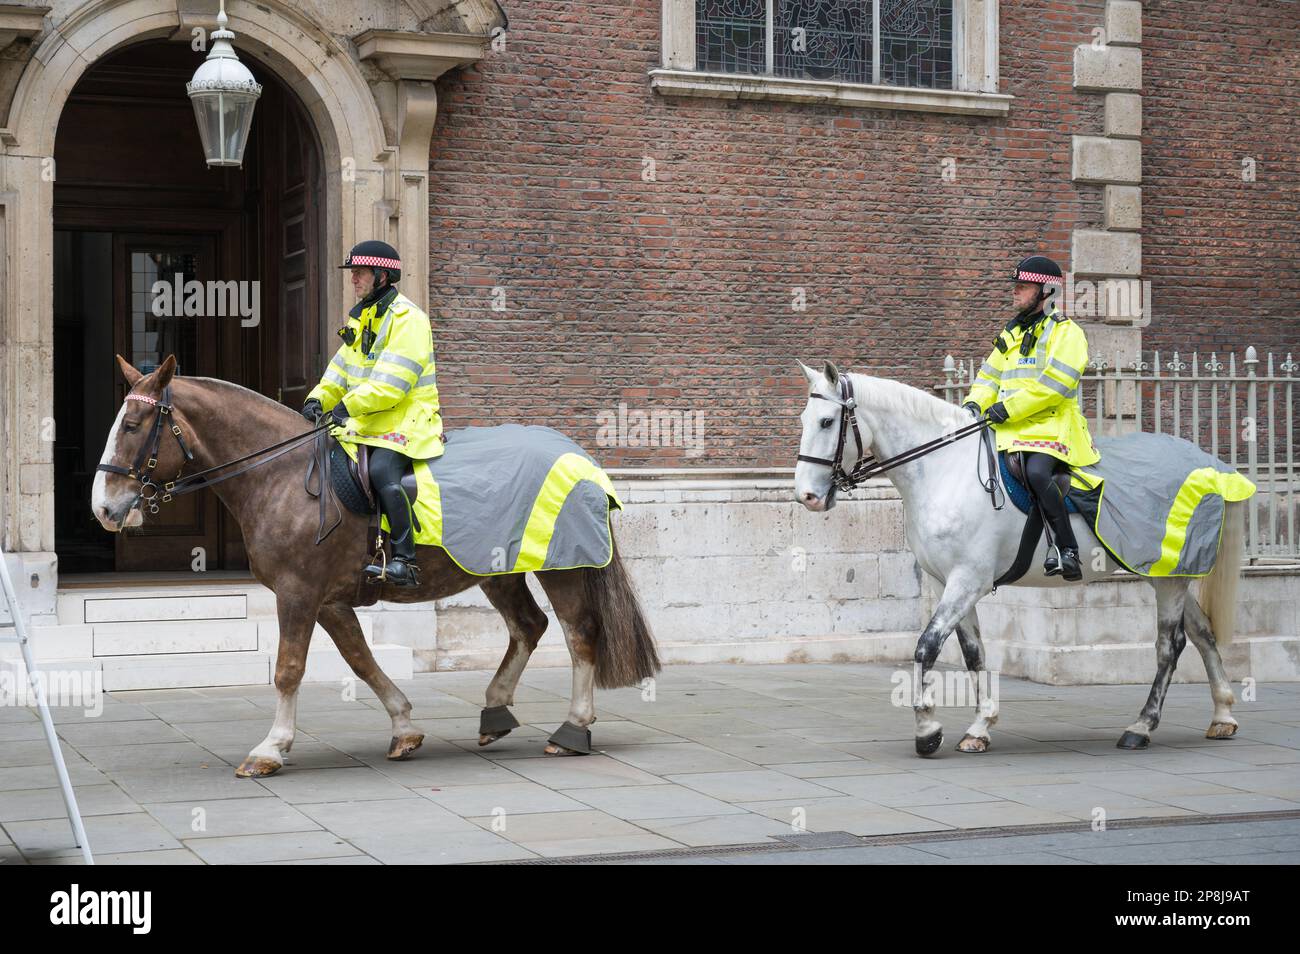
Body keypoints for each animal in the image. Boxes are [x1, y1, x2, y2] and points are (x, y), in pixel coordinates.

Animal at [91, 355, 659, 777]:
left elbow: (288, 669)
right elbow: (360, 660)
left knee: (579, 634)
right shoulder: (329, 602)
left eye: (134, 425)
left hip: (561, 567)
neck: (282, 476)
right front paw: (404, 728)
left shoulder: (298, 594)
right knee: (529, 626)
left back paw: (572, 729)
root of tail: (579, 456)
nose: (104, 509)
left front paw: (271, 748)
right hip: (497, 572)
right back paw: (496, 711)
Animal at [793, 361, 1244, 756]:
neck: (944, 471)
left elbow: (926, 647)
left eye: (827, 422)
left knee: (1170, 645)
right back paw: (1222, 714)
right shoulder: (946, 582)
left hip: (1168, 578)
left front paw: (927, 730)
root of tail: (1210, 464)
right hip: (1163, 570)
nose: (807, 497)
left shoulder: (967, 580)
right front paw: (979, 727)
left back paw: (1142, 727)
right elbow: (973, 653)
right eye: (804, 419)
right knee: (1202, 633)